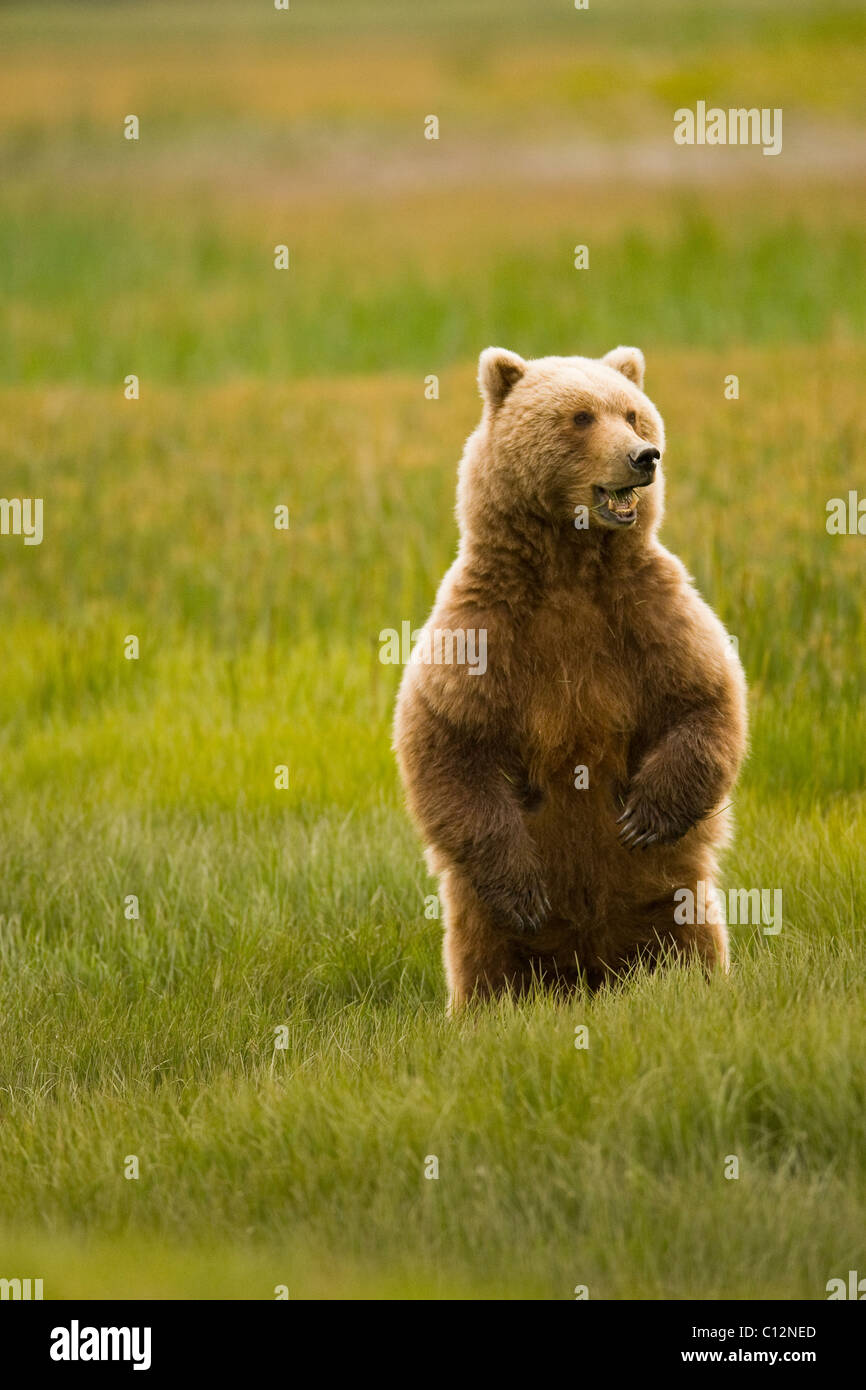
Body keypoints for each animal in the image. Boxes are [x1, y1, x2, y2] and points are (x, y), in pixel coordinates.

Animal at [394, 345, 748, 1011]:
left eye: (632, 413)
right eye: (581, 417)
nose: (644, 457)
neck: (570, 567)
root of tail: (592, 972)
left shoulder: (648, 609)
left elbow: (703, 696)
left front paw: (643, 815)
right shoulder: (482, 628)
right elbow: (449, 737)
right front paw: (526, 892)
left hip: (676, 898)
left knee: (689, 943)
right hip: (480, 927)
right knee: (487, 968)